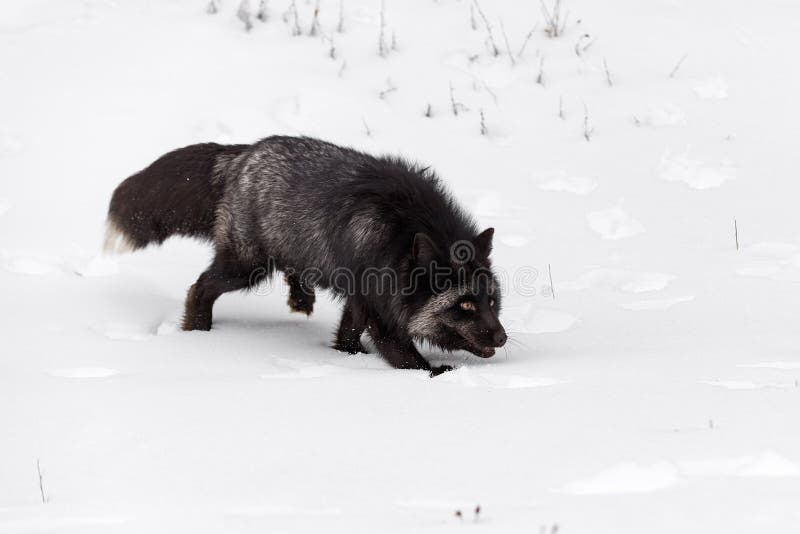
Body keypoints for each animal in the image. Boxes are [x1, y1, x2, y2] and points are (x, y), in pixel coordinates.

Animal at [104, 136, 507, 376]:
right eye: (464, 305)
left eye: (491, 301)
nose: (503, 338)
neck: (400, 233)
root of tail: (245, 153)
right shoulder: (381, 310)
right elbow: (406, 358)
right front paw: (438, 375)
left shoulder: (362, 295)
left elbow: (347, 334)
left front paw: (348, 359)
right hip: (247, 267)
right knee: (199, 287)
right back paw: (198, 331)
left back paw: (301, 297)